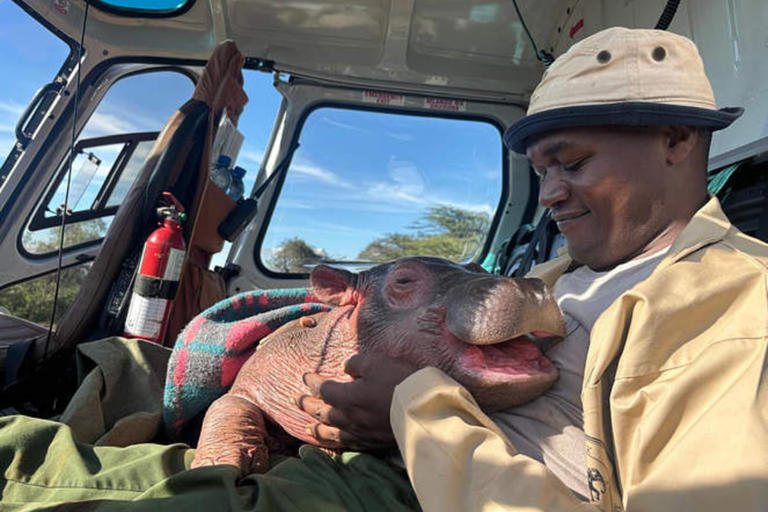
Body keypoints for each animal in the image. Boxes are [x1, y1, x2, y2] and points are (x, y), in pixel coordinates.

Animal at [191, 256, 565, 475]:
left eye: (482, 269)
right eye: (403, 280)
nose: (528, 286)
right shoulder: (257, 377)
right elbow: (230, 405)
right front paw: (217, 465)